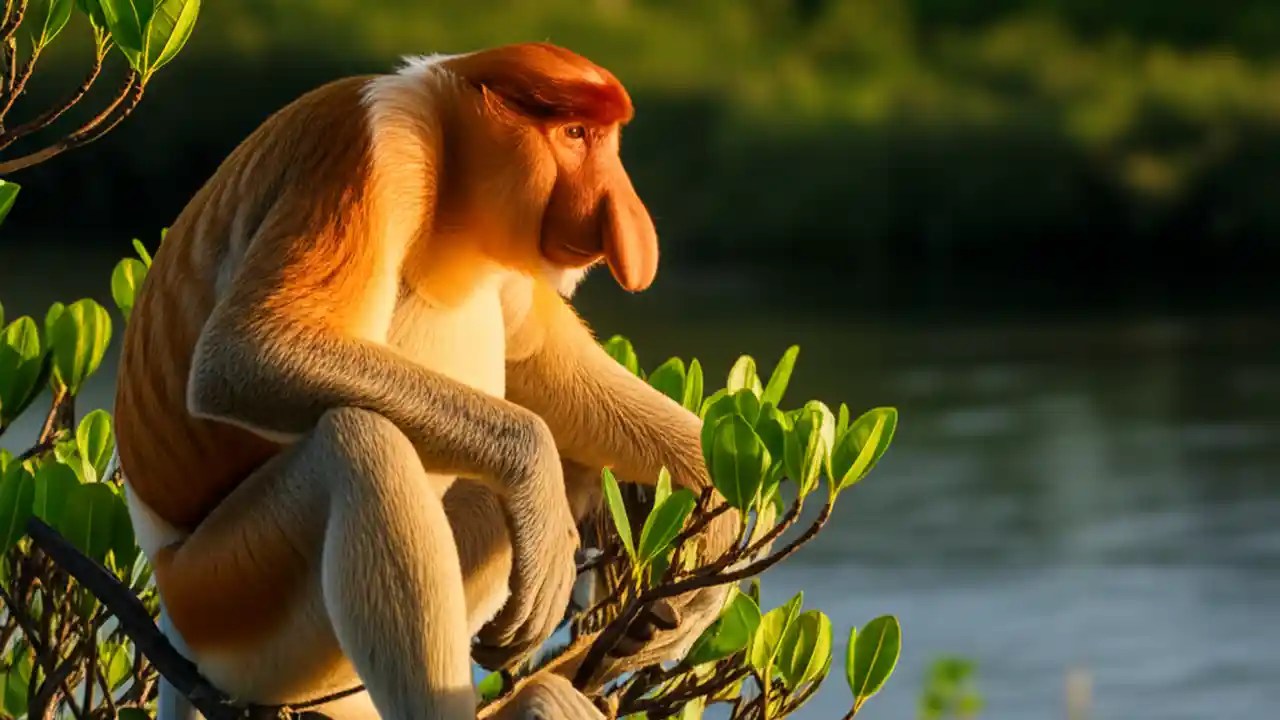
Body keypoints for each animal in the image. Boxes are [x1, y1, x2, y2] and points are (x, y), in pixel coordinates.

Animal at [113, 43, 736, 720]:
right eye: (575, 134)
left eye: (607, 138)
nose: (628, 227)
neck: (449, 157)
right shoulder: (372, 150)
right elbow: (248, 352)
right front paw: (540, 489)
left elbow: (536, 356)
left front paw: (718, 519)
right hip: (228, 595)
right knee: (359, 445)